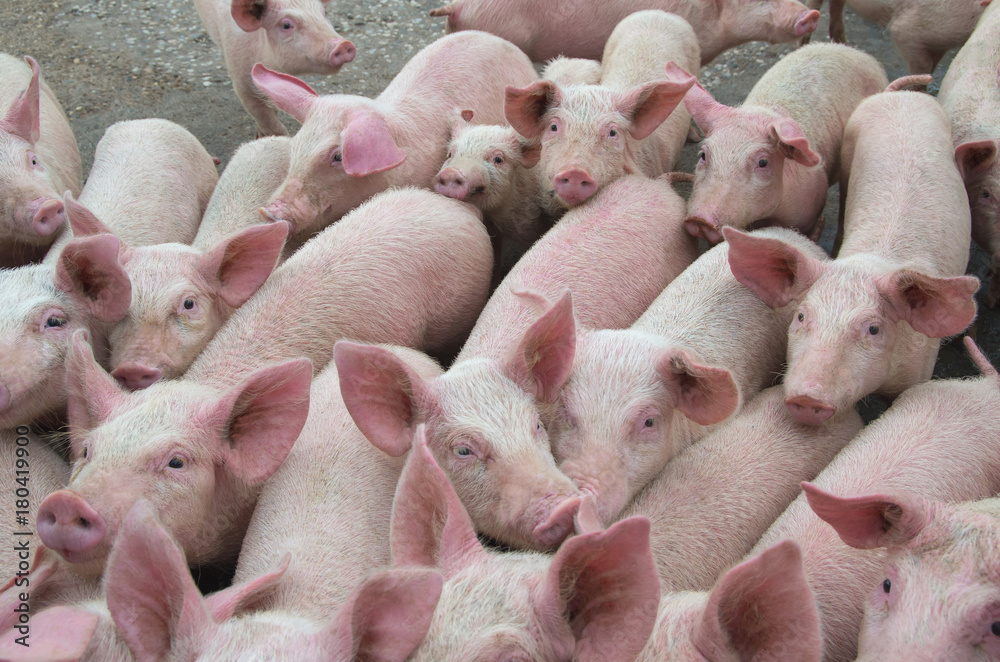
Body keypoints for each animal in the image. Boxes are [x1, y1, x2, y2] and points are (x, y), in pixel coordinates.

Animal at [726, 91, 979, 426]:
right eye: (801, 316)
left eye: (873, 329)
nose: (807, 398)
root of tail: (903, 94)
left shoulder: (917, 371)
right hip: (847, 160)